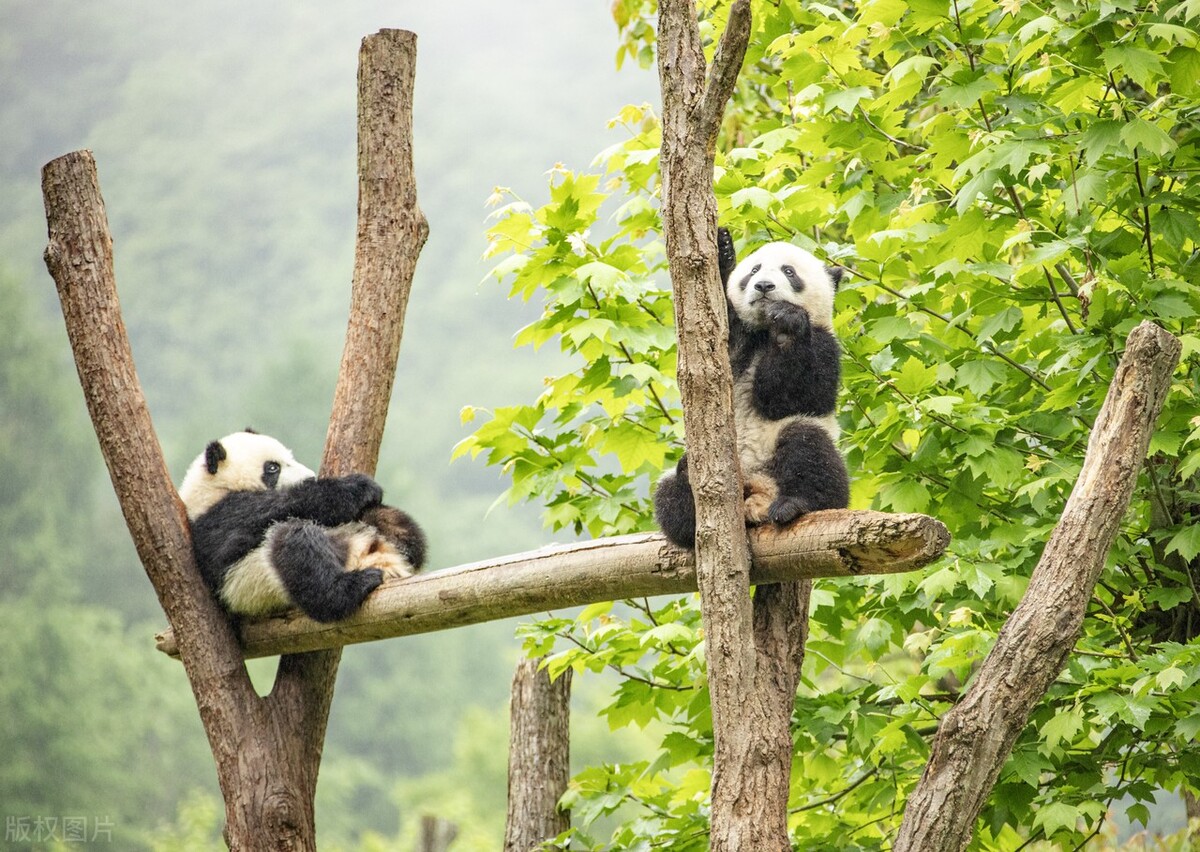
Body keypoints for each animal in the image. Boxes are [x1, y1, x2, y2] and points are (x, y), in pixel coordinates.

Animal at [177, 430, 426, 622]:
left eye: (290, 458)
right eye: (273, 468)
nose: (309, 477)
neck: (211, 491)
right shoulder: (219, 519)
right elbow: (278, 507)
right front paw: (356, 487)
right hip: (254, 581)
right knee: (295, 545)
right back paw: (351, 586)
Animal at [654, 228, 850, 548]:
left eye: (789, 271)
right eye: (754, 270)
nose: (764, 286)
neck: (762, 332)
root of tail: (756, 496)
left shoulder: (825, 343)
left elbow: (797, 394)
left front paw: (787, 325)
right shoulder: (735, 337)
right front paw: (722, 251)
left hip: (786, 451)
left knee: (810, 449)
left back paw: (796, 504)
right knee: (669, 497)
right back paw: (688, 499)